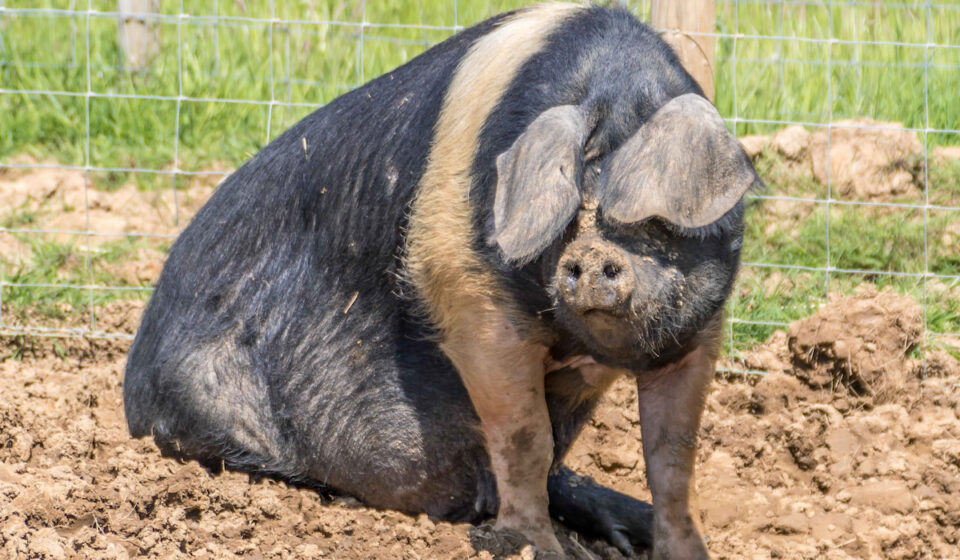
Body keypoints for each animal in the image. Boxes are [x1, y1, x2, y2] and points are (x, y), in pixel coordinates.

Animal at [123, 3, 761, 558]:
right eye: (568, 217)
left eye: (653, 222)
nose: (590, 256)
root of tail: (132, 395)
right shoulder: (468, 295)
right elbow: (525, 441)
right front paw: (538, 549)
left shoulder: (700, 332)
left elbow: (673, 457)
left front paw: (691, 552)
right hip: (204, 409)